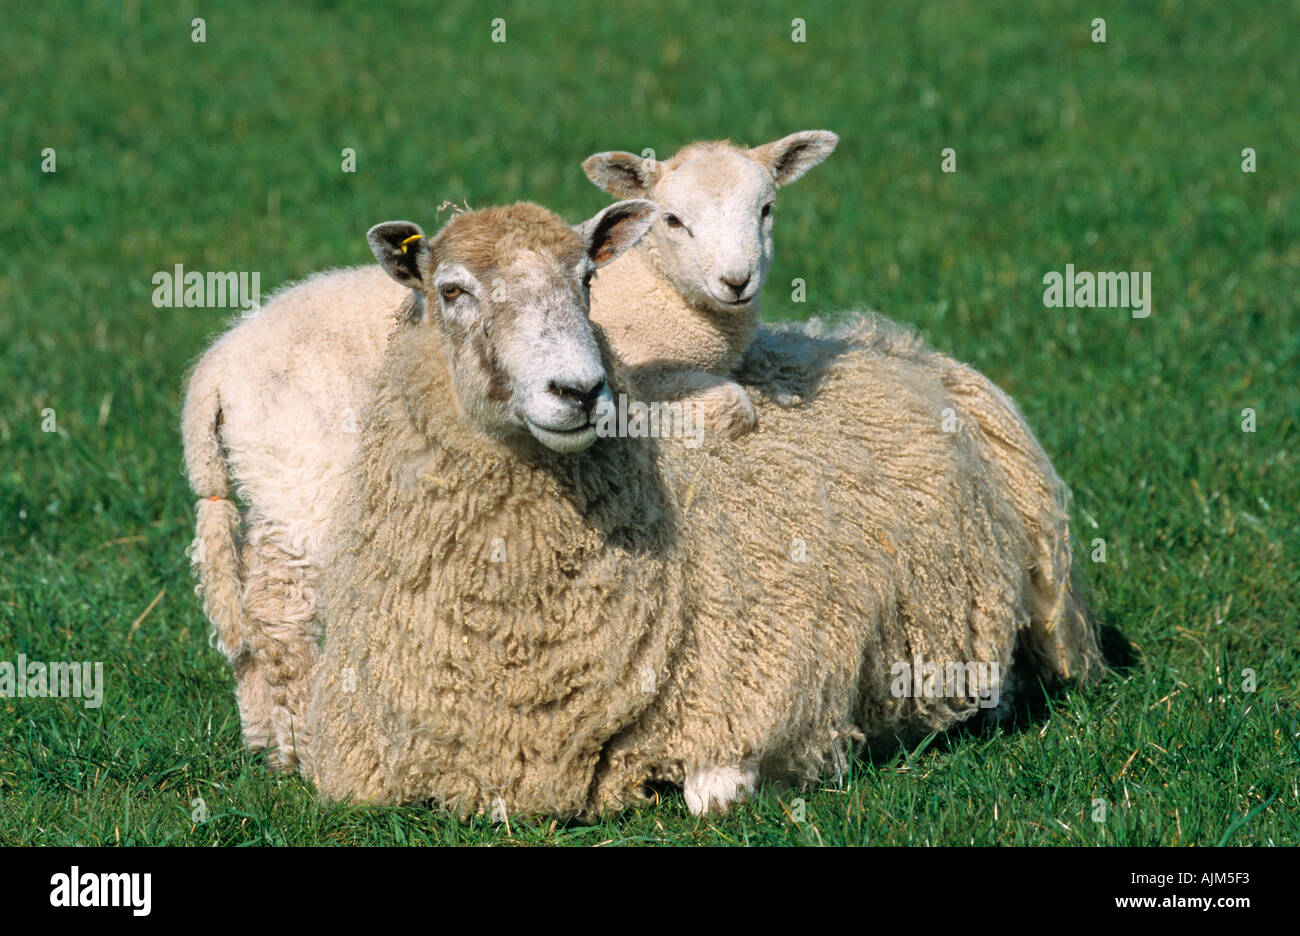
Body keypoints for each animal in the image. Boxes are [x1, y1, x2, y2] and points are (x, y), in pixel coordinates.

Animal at [302, 203, 1102, 820]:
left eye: (587, 279)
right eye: (453, 290)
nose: (579, 390)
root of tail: (895, 342)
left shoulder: (749, 683)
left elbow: (713, 797)